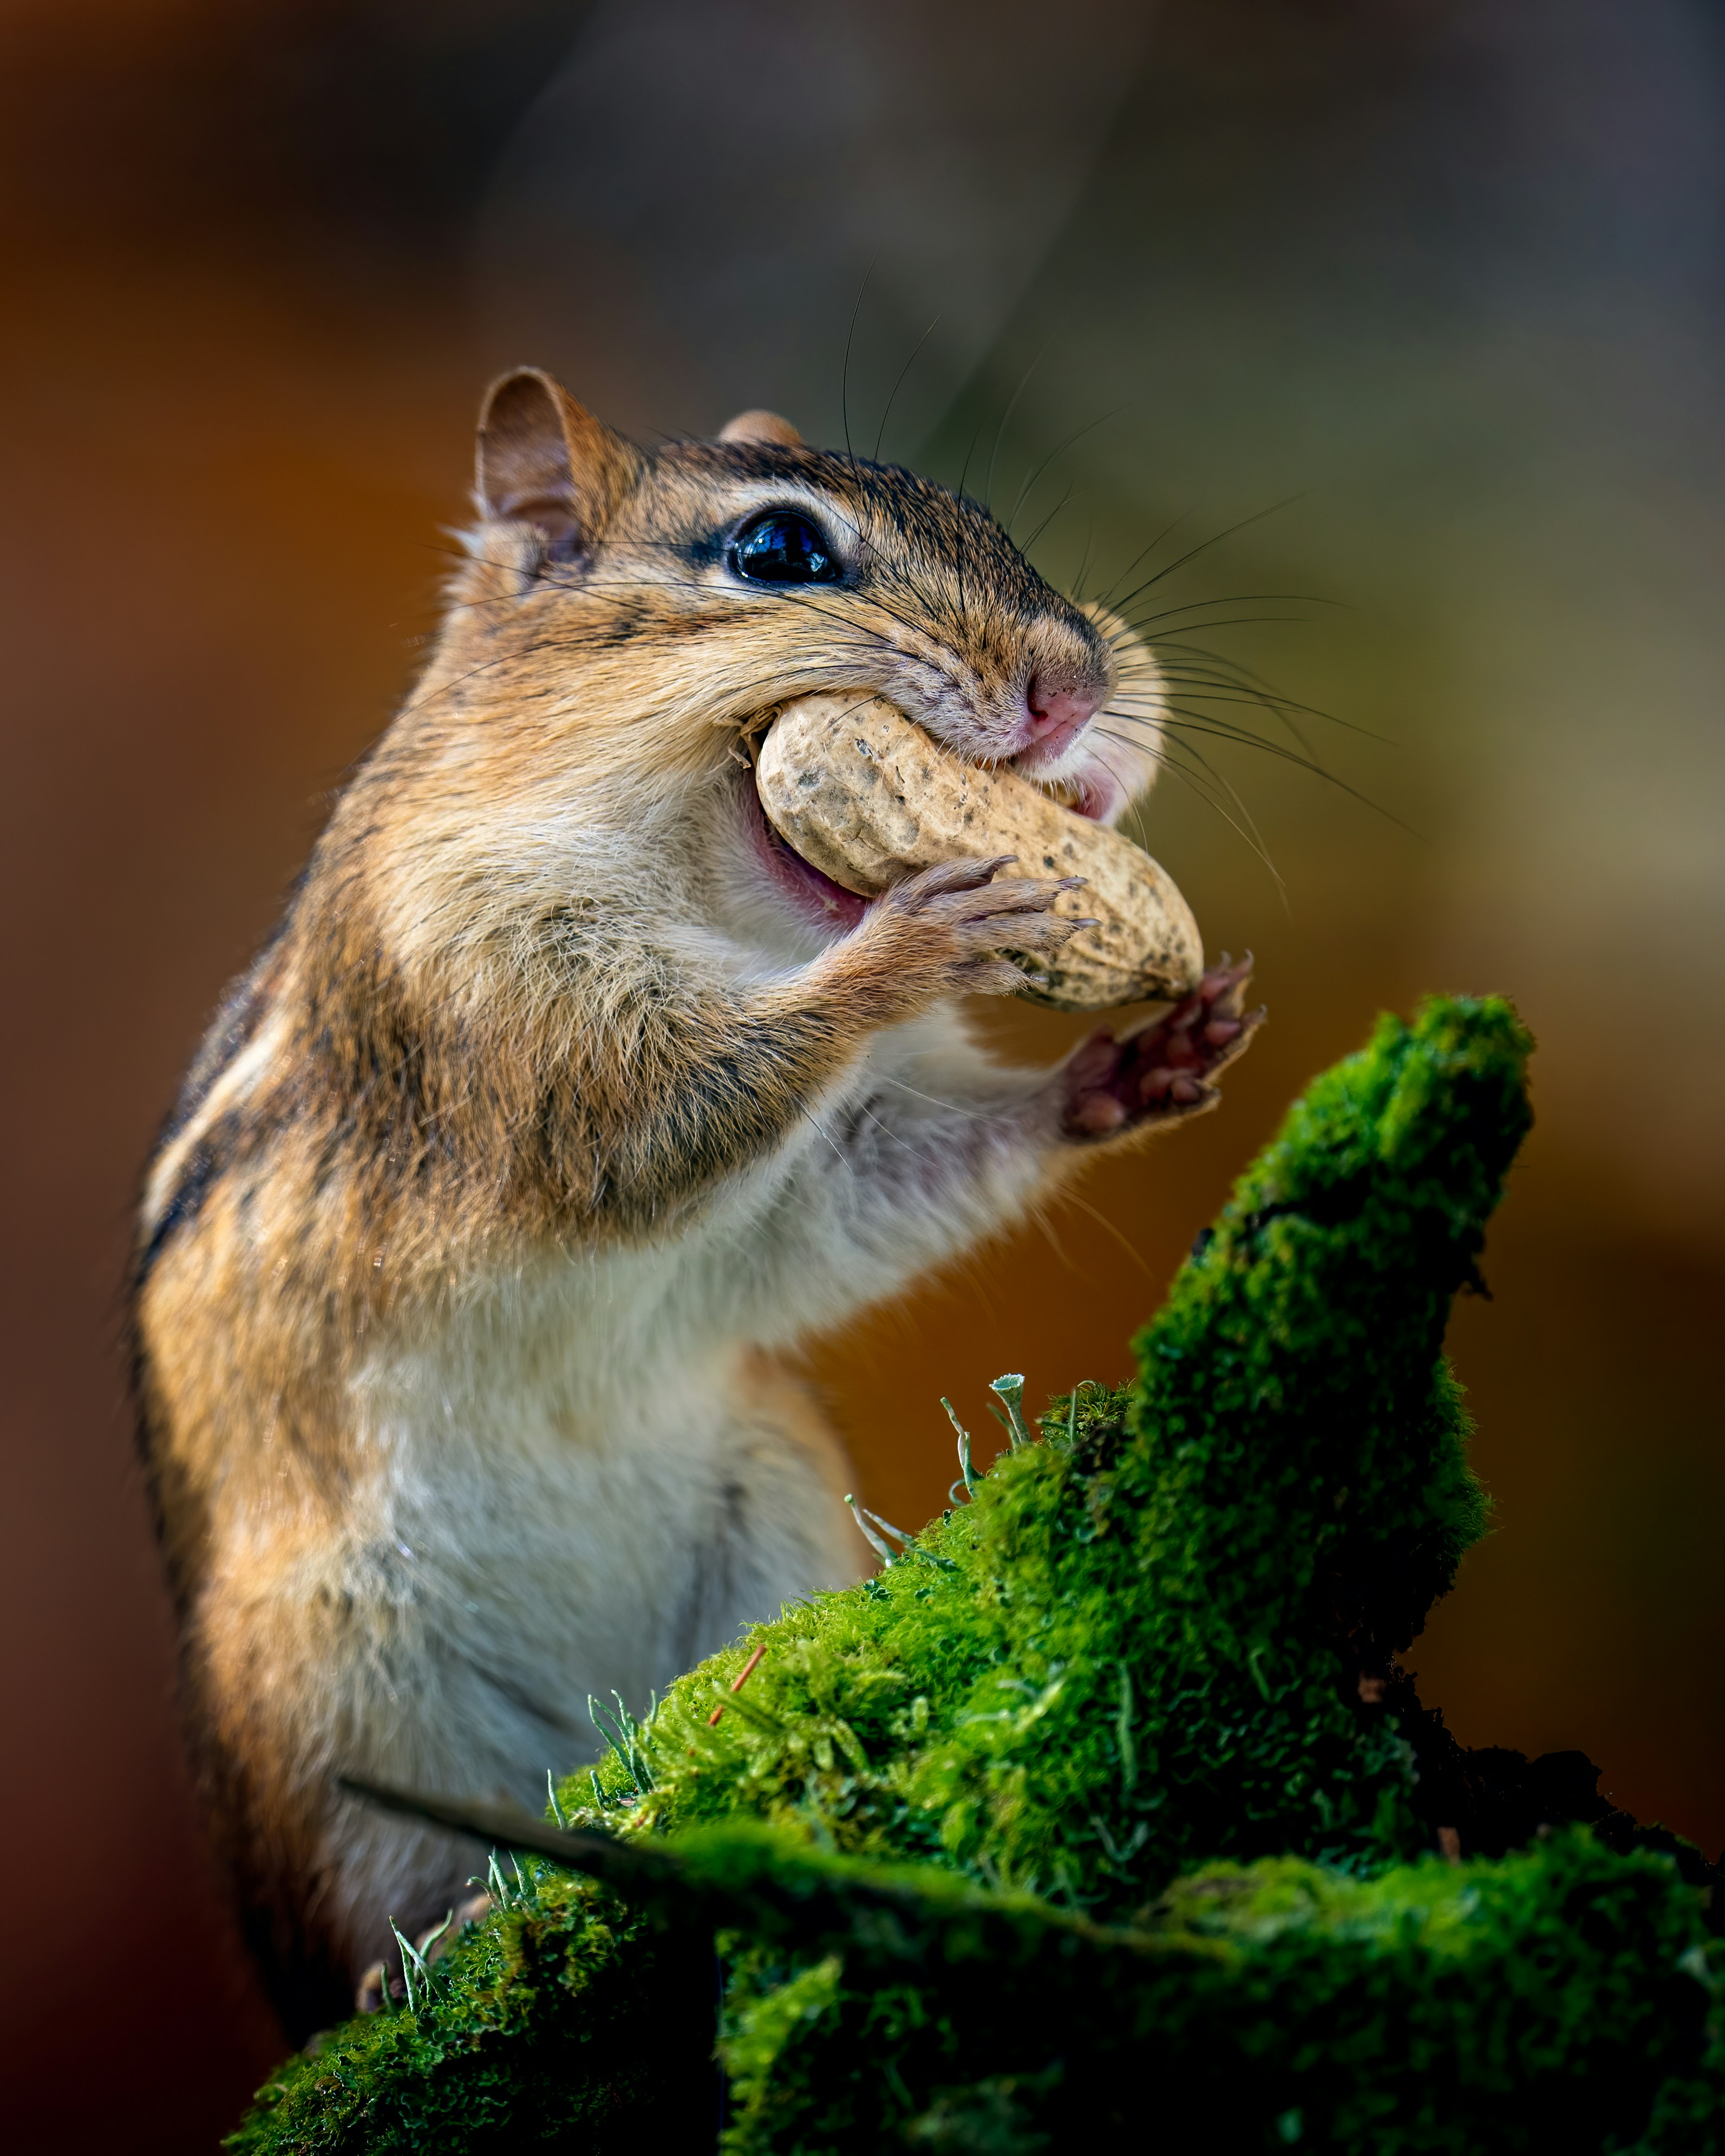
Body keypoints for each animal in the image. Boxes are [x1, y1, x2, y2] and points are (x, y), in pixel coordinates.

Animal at [131, 370, 1260, 2040]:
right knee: (373, 1930)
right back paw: (449, 1928)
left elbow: (860, 1191)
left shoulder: (838, 1155)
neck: (724, 911)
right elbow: (655, 1119)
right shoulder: (488, 989)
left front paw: (1137, 1063)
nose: (1072, 683)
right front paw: (923, 926)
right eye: (779, 550)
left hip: (771, 1507)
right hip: (330, 1712)